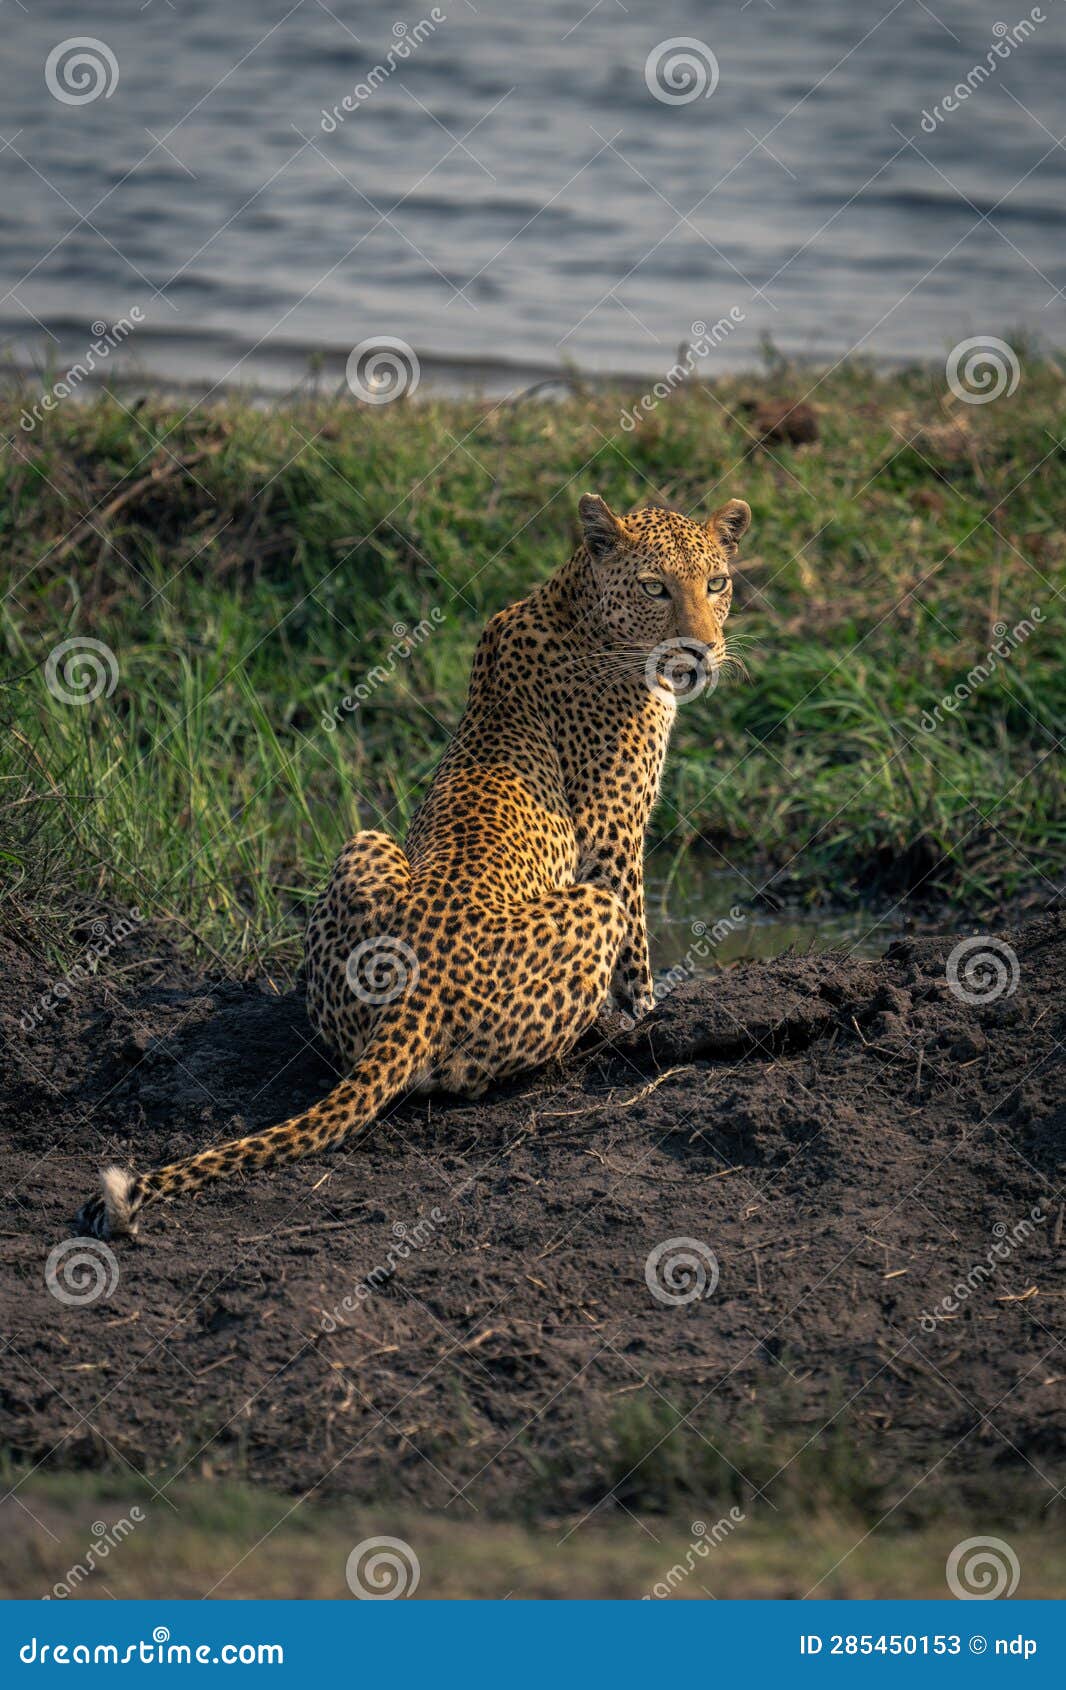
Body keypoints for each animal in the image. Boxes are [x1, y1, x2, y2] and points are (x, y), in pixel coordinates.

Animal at [75, 492, 751, 1239]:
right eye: (654, 587)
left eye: (716, 584)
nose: (701, 649)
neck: (574, 601)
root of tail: (414, 989)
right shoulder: (612, 835)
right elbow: (638, 953)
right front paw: (649, 1018)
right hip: (581, 910)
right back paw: (585, 1041)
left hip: (363, 845)